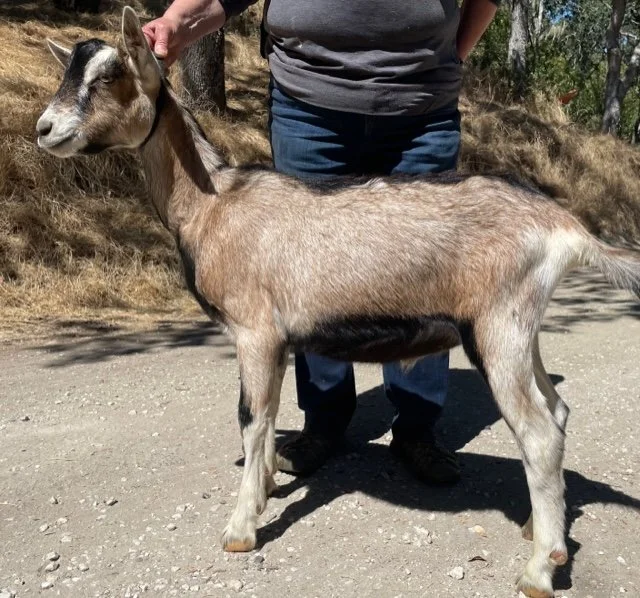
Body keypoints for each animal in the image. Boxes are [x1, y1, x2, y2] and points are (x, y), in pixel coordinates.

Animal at [36, 8, 640, 597]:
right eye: (70, 71)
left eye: (109, 75)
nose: (45, 129)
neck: (213, 204)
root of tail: (563, 226)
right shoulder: (278, 341)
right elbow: (270, 416)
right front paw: (268, 485)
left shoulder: (255, 331)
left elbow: (251, 419)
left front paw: (240, 529)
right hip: (521, 330)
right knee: (558, 412)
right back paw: (543, 530)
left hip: (498, 327)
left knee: (538, 433)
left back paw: (540, 568)